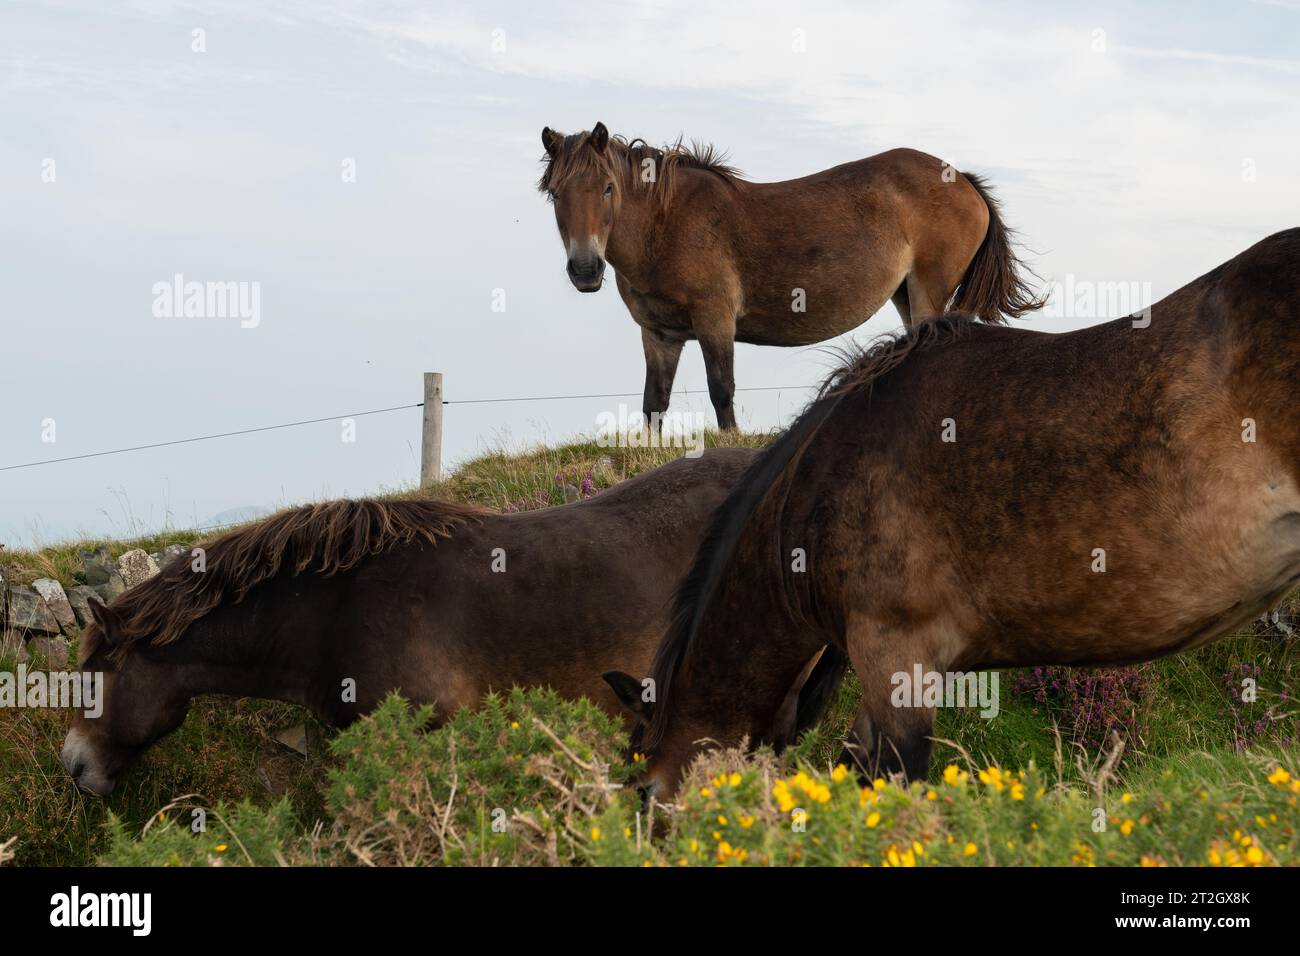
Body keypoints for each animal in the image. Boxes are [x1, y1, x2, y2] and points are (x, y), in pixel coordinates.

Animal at [537, 122, 1042, 430]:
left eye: (607, 188)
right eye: (556, 193)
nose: (585, 269)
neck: (667, 224)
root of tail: (965, 181)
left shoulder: (714, 320)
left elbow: (722, 391)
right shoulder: (659, 335)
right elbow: (653, 405)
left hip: (929, 291)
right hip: (906, 295)